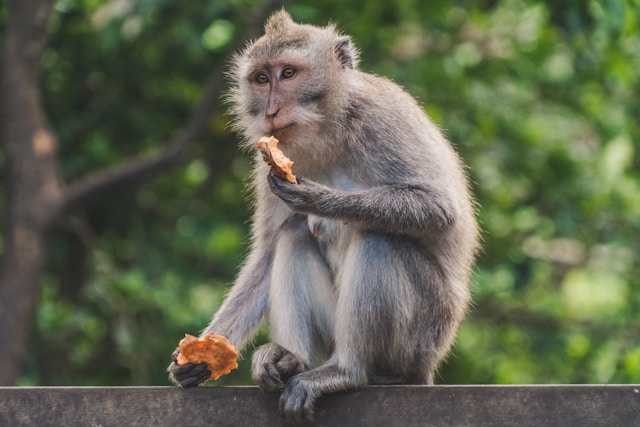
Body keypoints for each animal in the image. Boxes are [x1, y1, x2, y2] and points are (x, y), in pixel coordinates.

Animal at [168, 10, 479, 423]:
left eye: (288, 74)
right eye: (261, 79)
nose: (270, 111)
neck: (327, 128)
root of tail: (427, 366)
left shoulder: (382, 119)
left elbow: (440, 209)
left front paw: (316, 198)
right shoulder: (266, 161)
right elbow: (268, 253)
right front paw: (203, 354)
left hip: (420, 338)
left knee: (379, 239)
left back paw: (347, 372)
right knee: (294, 236)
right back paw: (291, 360)